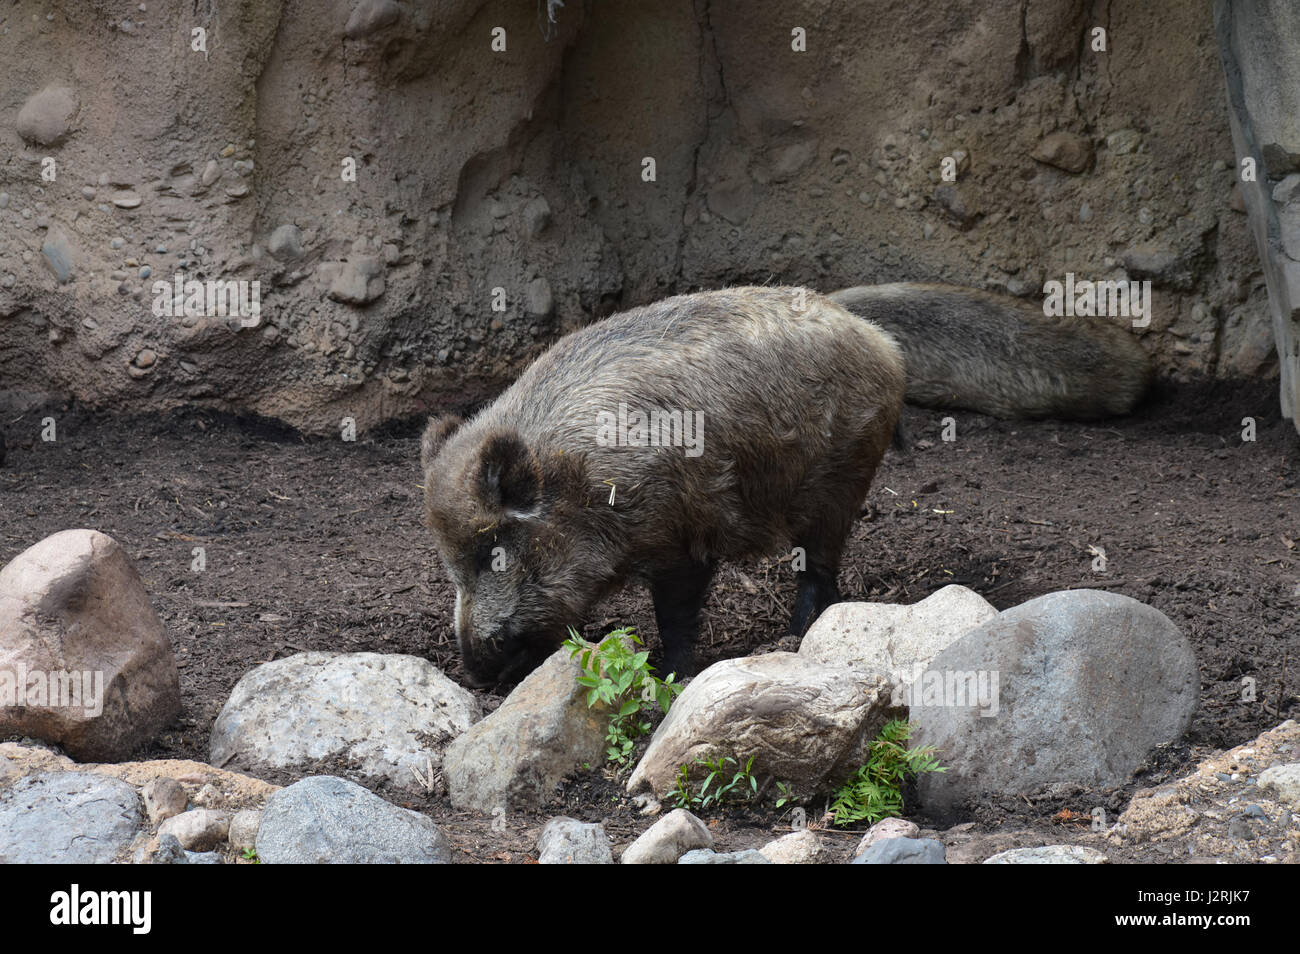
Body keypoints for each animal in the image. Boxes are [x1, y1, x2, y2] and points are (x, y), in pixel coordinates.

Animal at [420, 286, 905, 687]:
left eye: (492, 553)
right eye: (447, 561)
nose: (476, 676)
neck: (582, 483)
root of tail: (881, 344)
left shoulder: (682, 534)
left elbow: (674, 614)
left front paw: (667, 673)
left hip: (842, 478)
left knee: (818, 565)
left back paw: (795, 633)